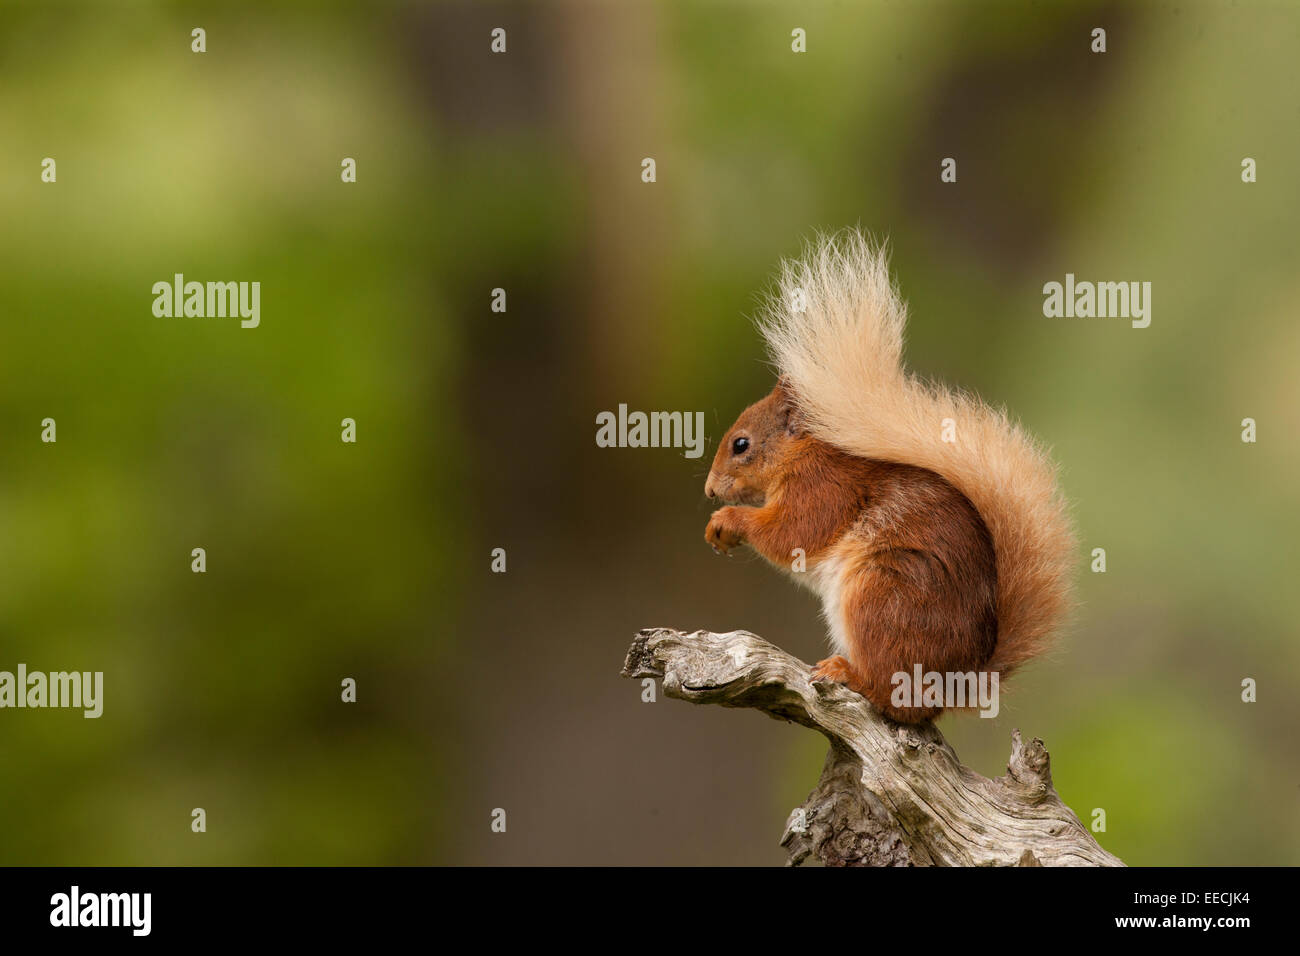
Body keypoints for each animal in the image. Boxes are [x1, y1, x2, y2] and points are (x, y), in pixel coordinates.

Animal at [704, 230, 1074, 723]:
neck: (803, 453)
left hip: (883, 595)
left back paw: (850, 674)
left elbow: (793, 533)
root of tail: (954, 683)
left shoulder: (822, 487)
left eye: (741, 444)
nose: (709, 489)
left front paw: (727, 521)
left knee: (892, 695)